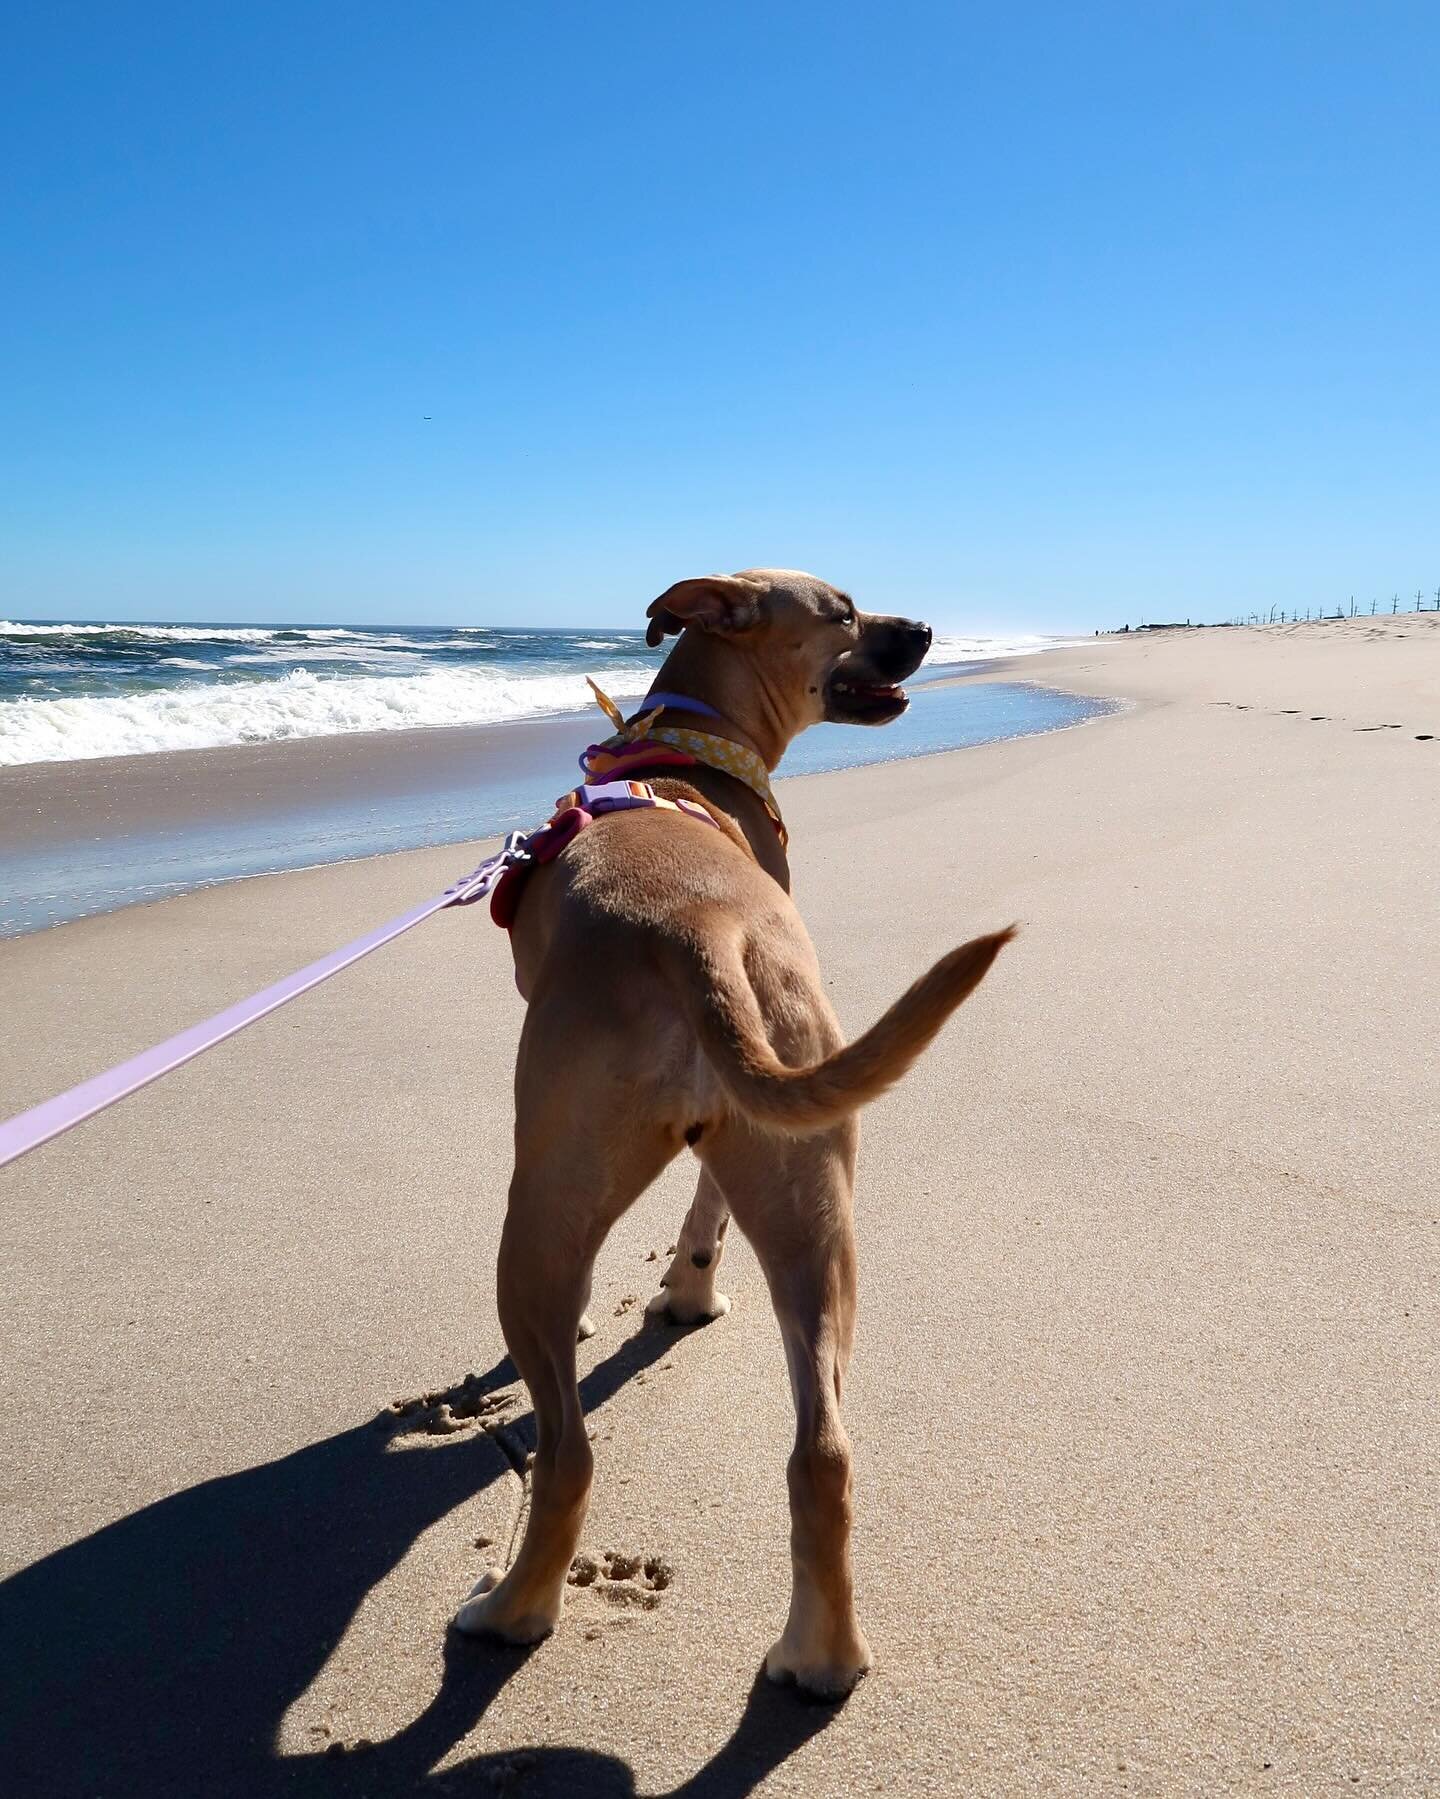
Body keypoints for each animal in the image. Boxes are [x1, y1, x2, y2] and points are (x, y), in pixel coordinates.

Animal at [453, 568, 1015, 1691]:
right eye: (842, 609)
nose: (928, 625)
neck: (693, 746)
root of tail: (696, 928)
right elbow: (704, 1208)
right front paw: (690, 1288)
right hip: (813, 1187)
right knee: (823, 1452)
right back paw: (820, 1657)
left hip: (538, 1202)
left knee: (567, 1449)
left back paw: (509, 1611)